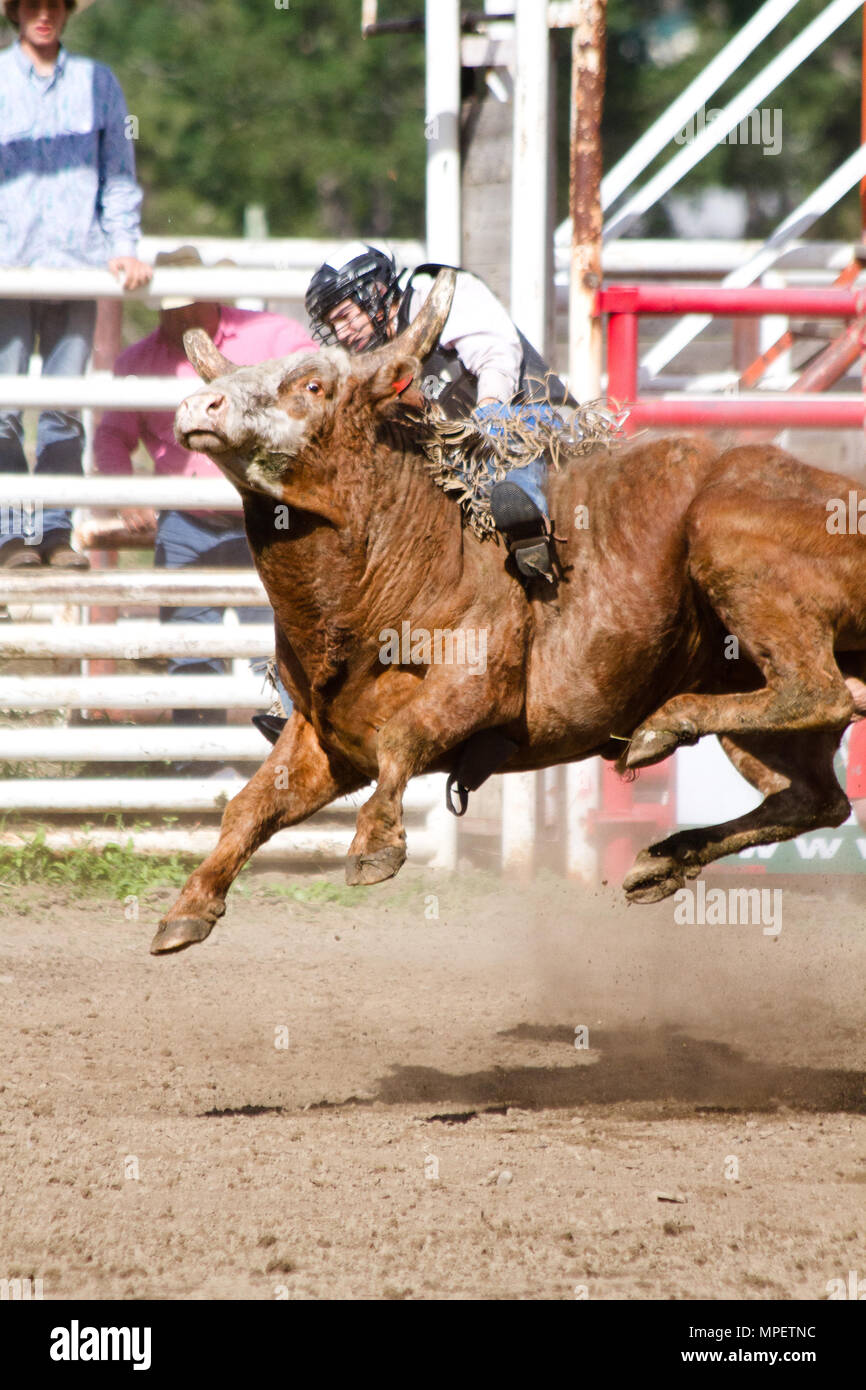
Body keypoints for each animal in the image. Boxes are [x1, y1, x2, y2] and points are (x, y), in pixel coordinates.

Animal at [149, 269, 866, 954]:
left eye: (314, 384)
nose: (196, 405)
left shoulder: (479, 687)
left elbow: (405, 736)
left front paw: (374, 845)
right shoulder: (326, 741)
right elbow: (249, 808)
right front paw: (188, 909)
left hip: (726, 538)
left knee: (816, 692)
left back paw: (664, 728)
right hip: (750, 688)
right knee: (816, 795)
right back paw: (664, 858)